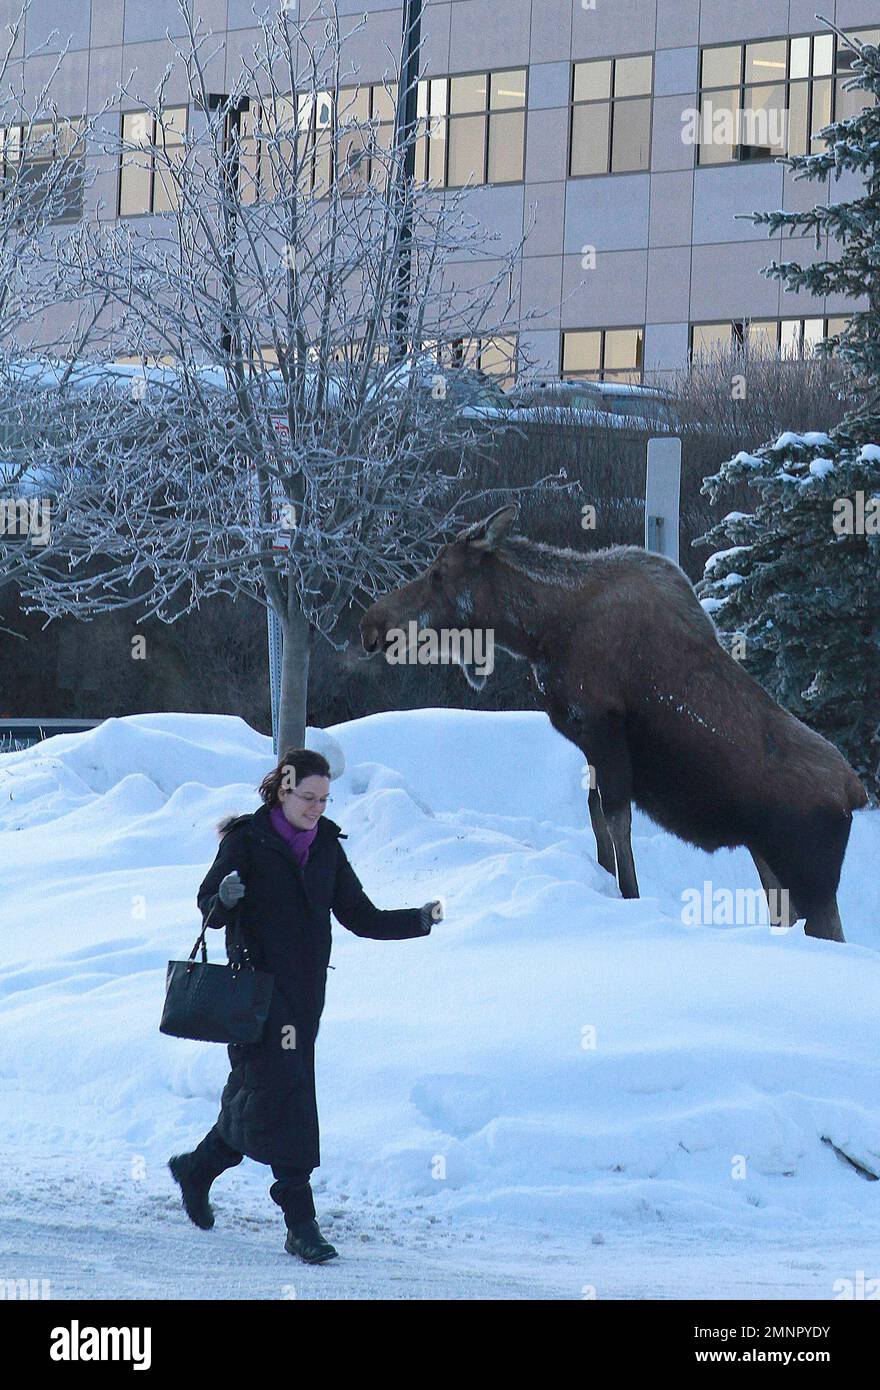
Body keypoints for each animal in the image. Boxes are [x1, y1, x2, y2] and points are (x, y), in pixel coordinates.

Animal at [360, 504, 867, 943]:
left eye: (439, 573)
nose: (371, 625)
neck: (542, 633)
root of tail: (855, 792)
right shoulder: (590, 745)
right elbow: (595, 816)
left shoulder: (604, 728)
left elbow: (615, 823)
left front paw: (629, 897)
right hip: (769, 860)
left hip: (812, 876)